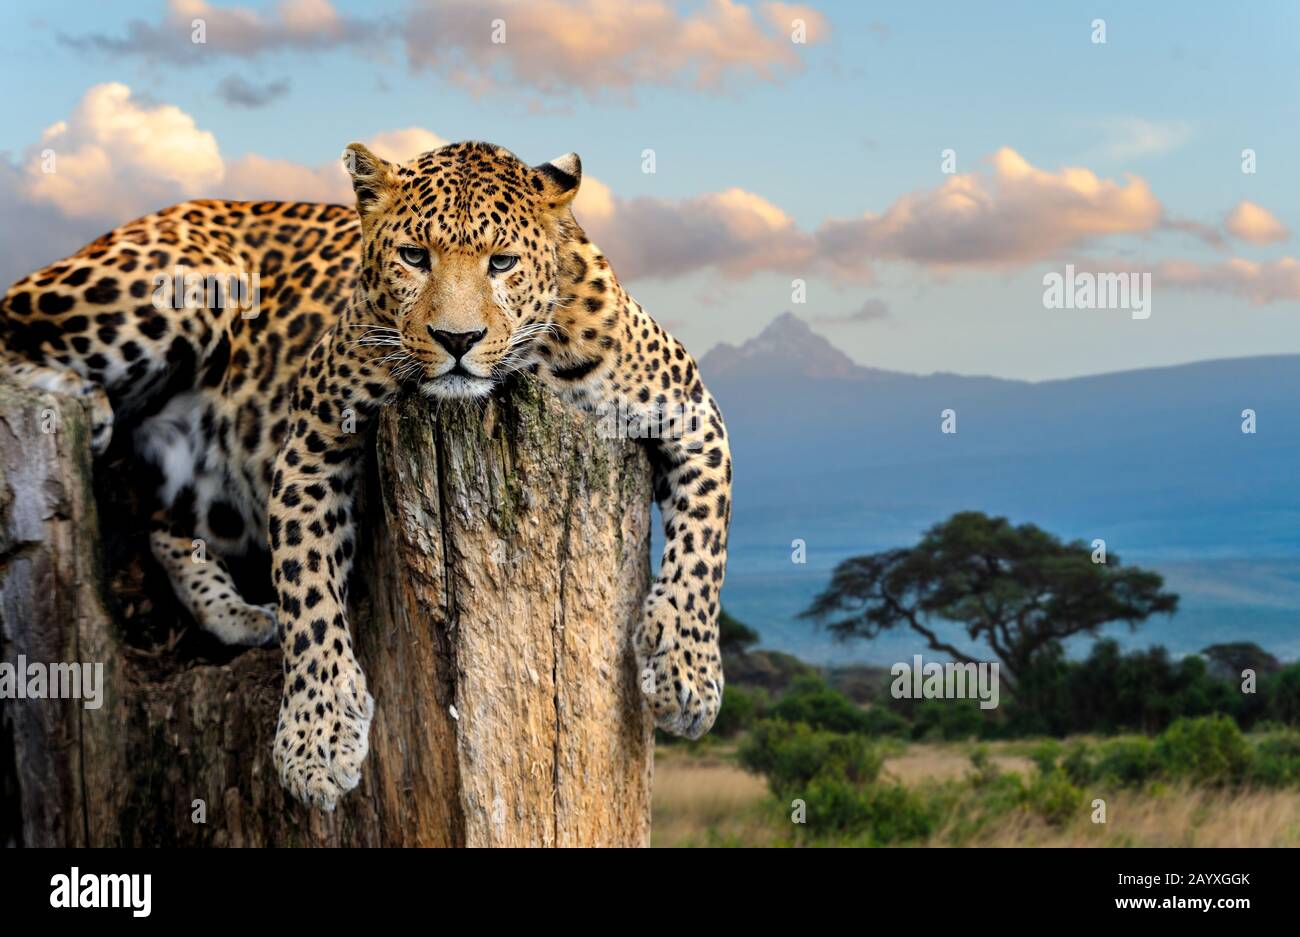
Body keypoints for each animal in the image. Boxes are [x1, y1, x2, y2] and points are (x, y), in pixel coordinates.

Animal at [0, 140, 732, 810]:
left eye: (501, 262)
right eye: (414, 256)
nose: (457, 340)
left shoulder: (691, 409)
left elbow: (704, 545)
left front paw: (686, 675)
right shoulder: (314, 437)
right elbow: (308, 591)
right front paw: (317, 740)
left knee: (164, 527)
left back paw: (240, 615)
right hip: (175, 284)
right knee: (13, 323)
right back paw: (85, 402)